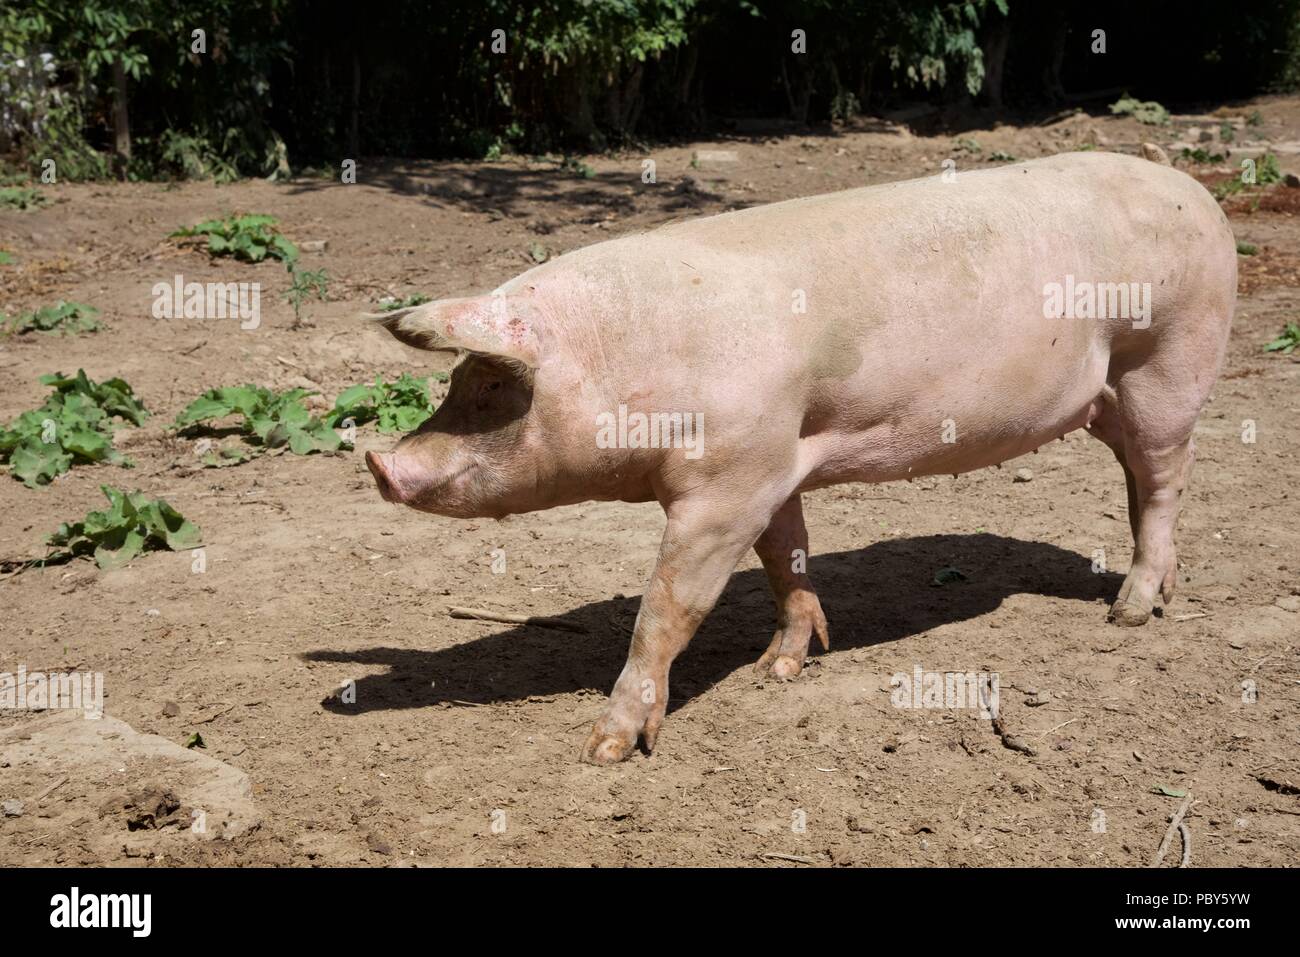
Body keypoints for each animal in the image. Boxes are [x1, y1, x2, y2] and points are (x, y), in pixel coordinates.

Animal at [364, 151, 1236, 764]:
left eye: (491, 385)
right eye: (458, 379)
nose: (378, 464)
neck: (627, 357)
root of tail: (1201, 196)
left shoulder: (725, 483)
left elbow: (666, 607)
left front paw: (604, 749)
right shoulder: (774, 460)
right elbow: (786, 557)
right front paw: (780, 667)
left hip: (1169, 359)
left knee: (1166, 478)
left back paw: (1129, 610)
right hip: (1115, 396)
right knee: (1141, 481)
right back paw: (1159, 592)